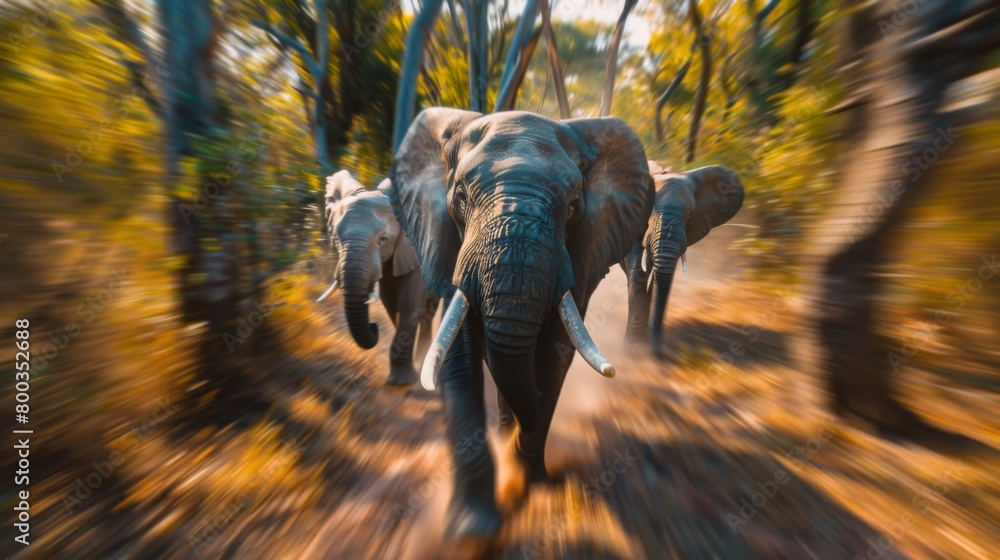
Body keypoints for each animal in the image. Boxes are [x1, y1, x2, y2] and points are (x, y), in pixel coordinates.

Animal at [317, 170, 438, 385]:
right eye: (337, 239)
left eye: (383, 239)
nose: (373, 327)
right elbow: (390, 303)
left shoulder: (417, 247)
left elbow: (409, 304)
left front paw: (401, 382)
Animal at [388, 108, 653, 543]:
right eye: (461, 198)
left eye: (573, 206)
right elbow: (458, 361)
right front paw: (472, 531)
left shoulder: (580, 255)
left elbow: (554, 357)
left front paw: (529, 481)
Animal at [622, 161, 744, 355]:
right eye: (649, 210)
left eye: (690, 213)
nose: (657, 353)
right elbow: (637, 271)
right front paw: (632, 348)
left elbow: (660, 275)